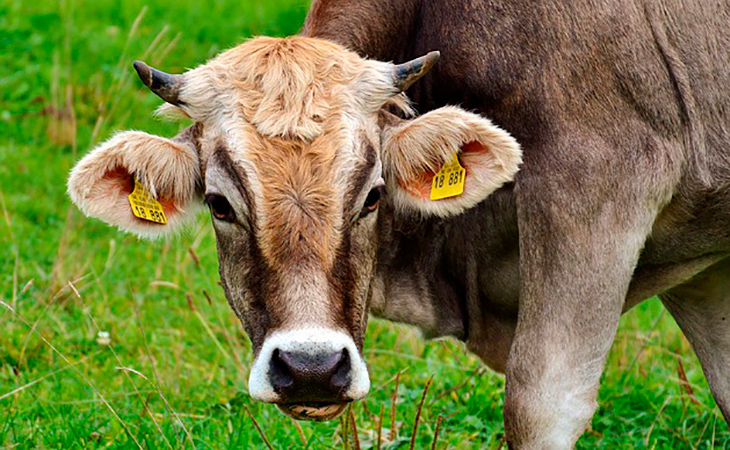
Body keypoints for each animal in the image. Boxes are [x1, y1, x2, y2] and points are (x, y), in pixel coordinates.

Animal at [67, 0, 730, 447]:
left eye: (373, 196)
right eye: (219, 203)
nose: (310, 369)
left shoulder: (595, 190)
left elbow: (542, 405)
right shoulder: (705, 263)